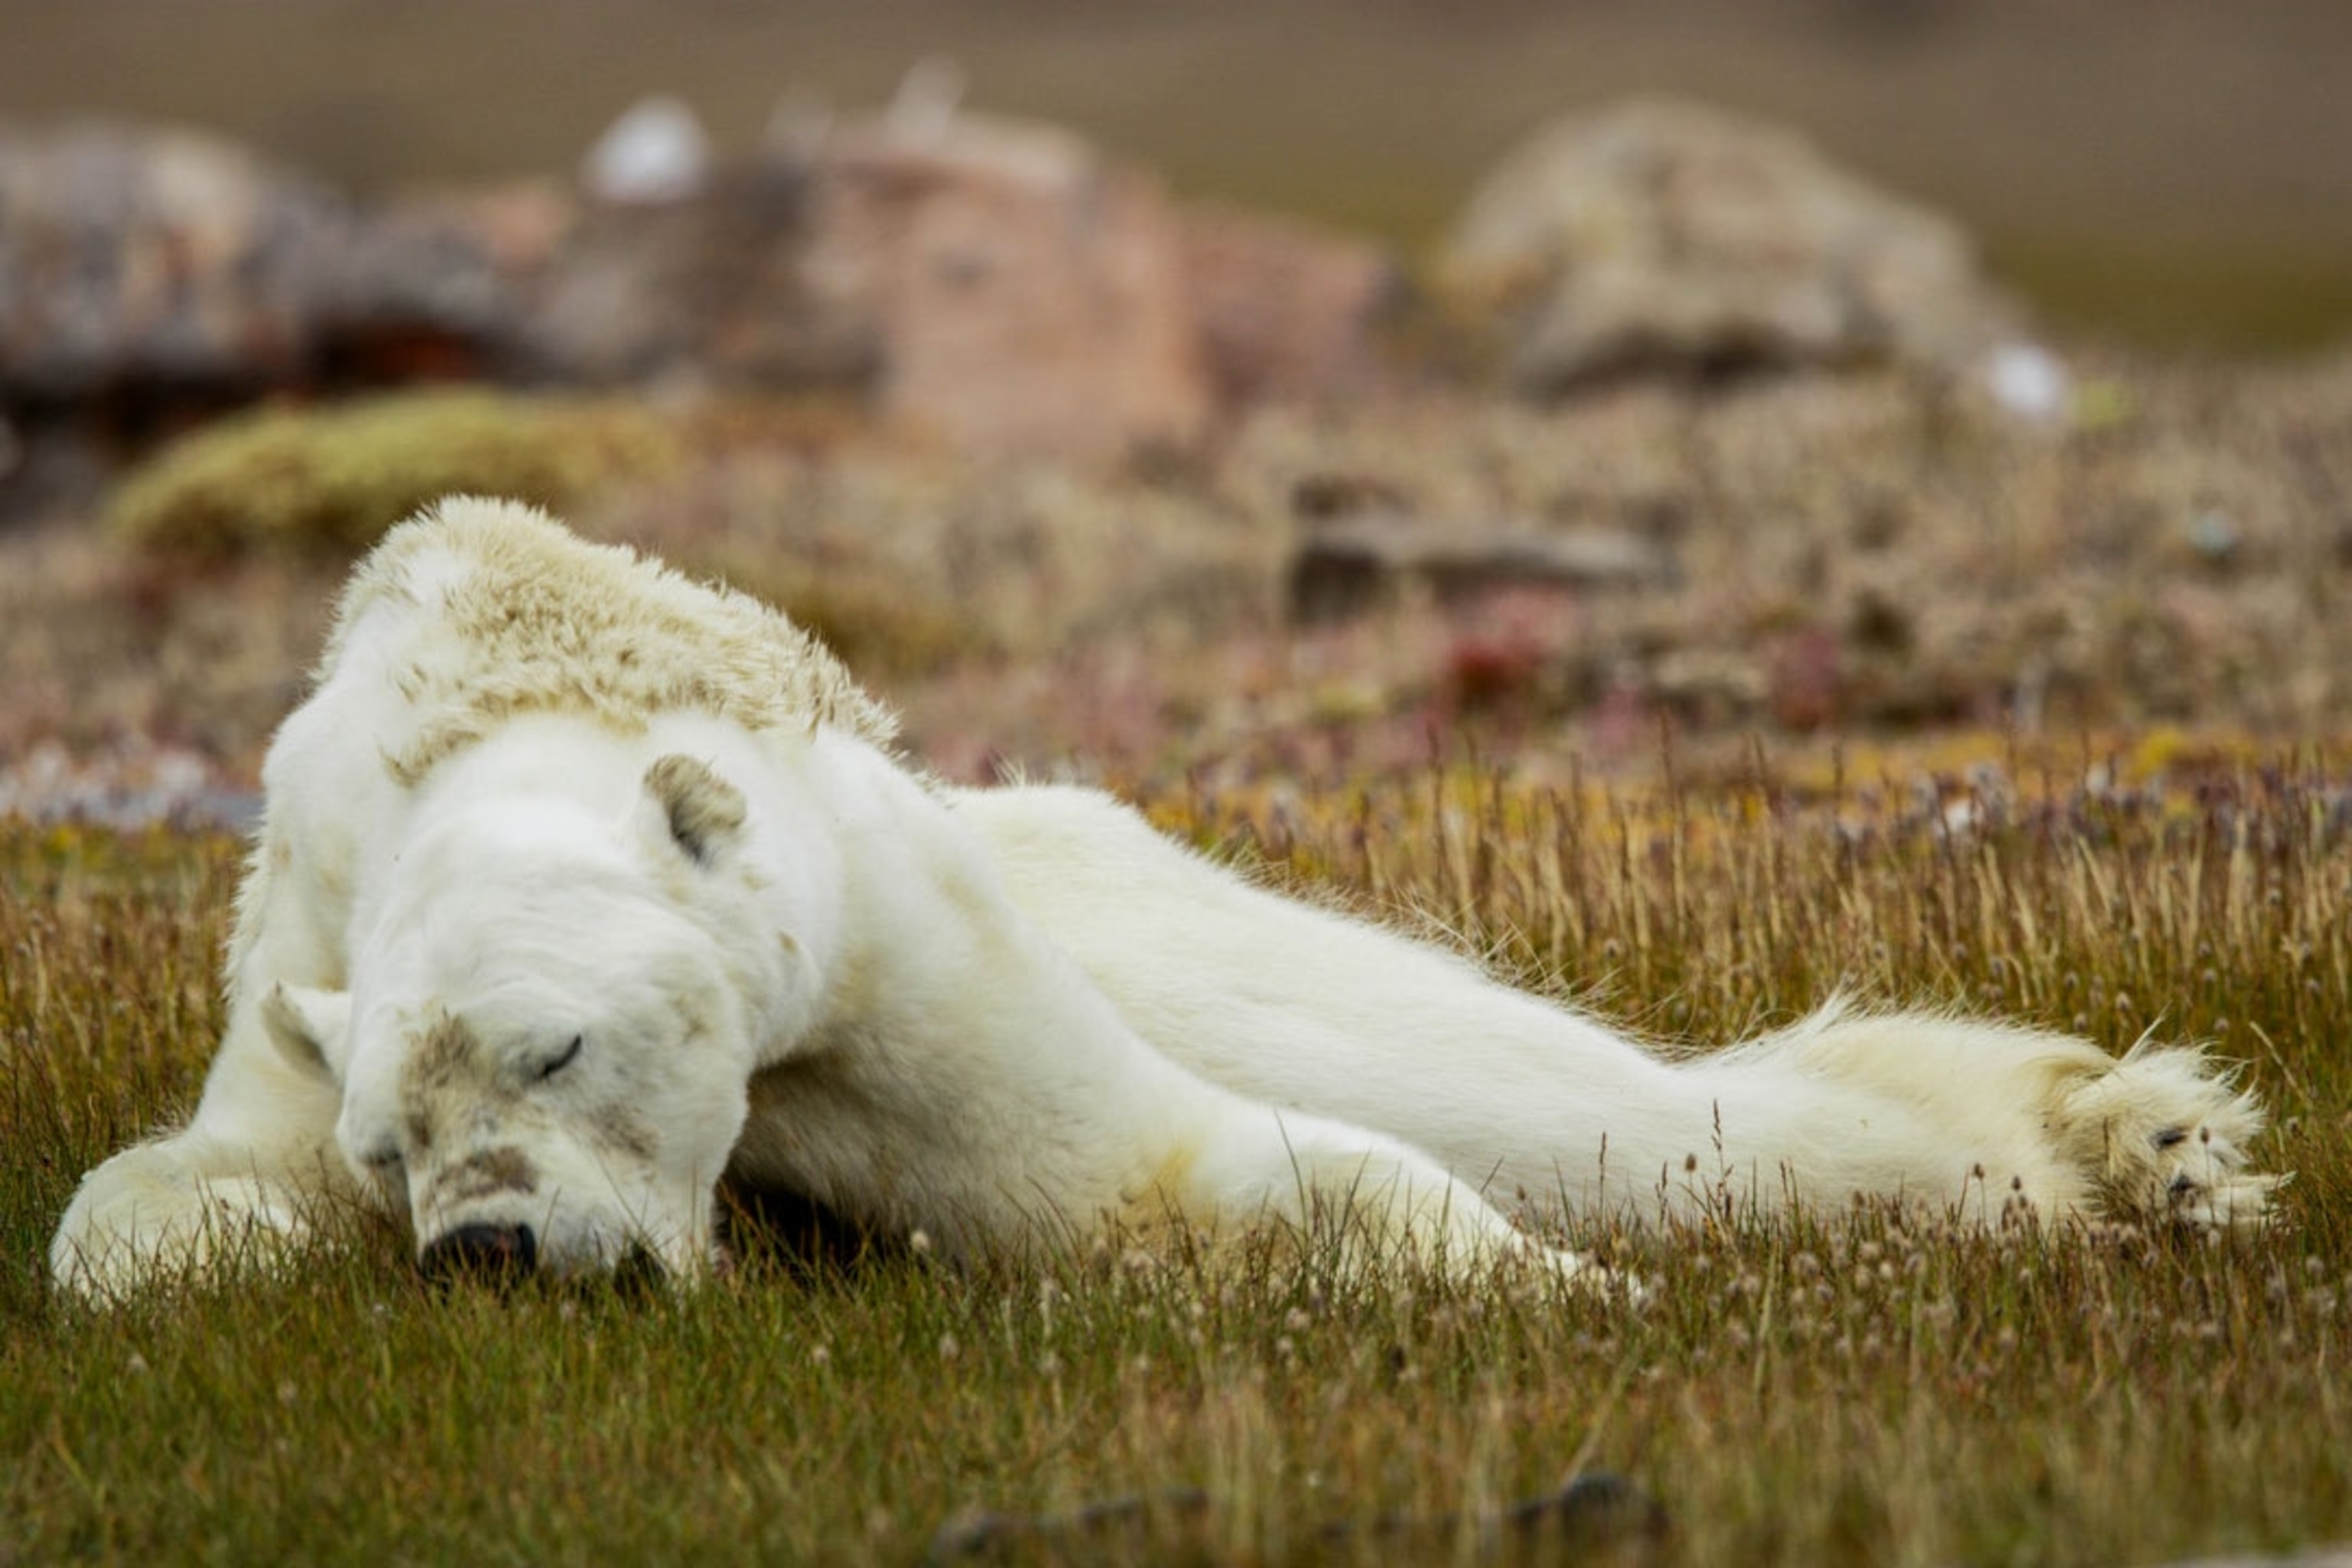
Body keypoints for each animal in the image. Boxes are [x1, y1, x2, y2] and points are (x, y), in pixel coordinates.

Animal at [50, 497, 2276, 1300]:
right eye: (388, 1140)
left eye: (557, 1043)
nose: (489, 1250)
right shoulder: (303, 945)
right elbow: (137, 1221)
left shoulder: (883, 973)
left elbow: (1159, 1165)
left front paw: (1575, 1299)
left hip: (1101, 882)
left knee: (1586, 1108)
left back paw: (2131, 1145)